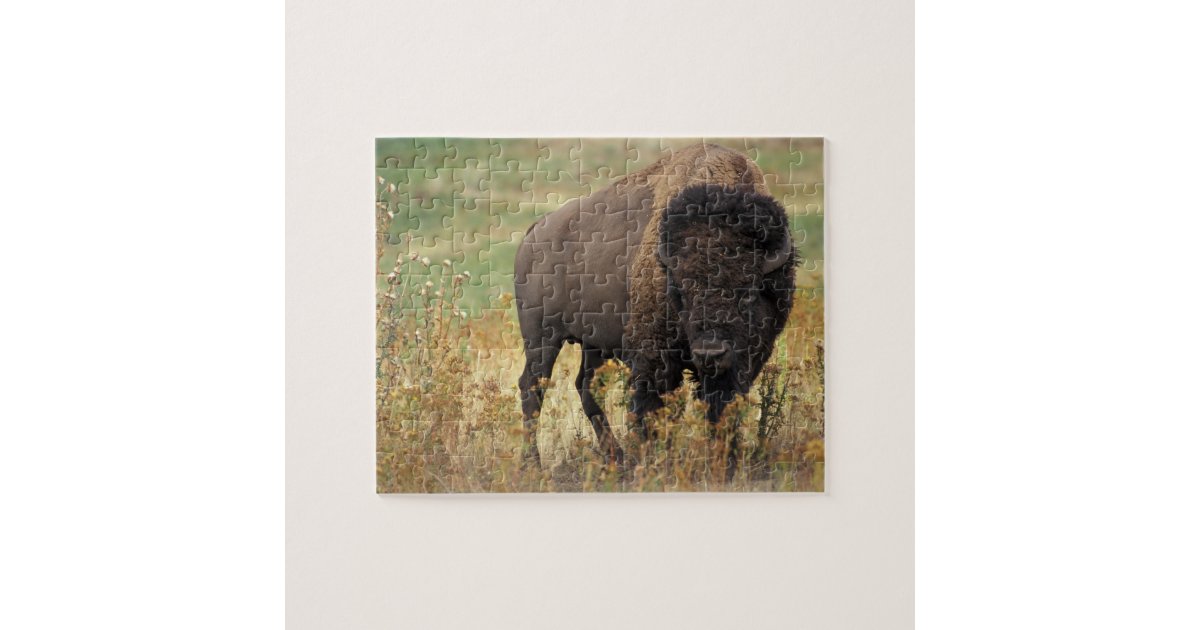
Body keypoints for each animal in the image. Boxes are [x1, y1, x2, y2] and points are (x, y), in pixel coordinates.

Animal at [514, 143, 796, 464]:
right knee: (533, 387)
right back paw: (533, 463)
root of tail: (534, 232)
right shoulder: (654, 358)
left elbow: (721, 408)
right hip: (542, 337)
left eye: (748, 292)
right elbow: (652, 410)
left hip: (593, 343)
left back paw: (616, 457)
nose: (710, 353)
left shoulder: (744, 361)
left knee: (585, 387)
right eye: (682, 292)